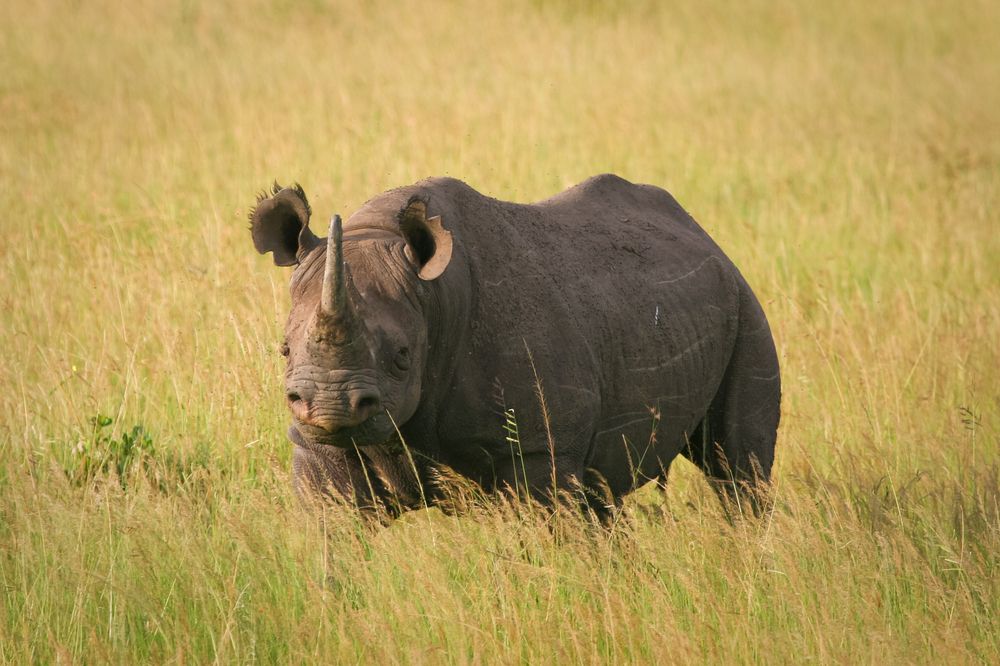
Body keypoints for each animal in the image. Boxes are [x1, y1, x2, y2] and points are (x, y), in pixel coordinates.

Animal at [249, 175, 780, 519]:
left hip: (743, 299)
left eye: (402, 357)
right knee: (601, 494)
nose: (329, 408)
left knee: (738, 469)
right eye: (284, 351)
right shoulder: (319, 448)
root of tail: (701, 231)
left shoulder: (539, 445)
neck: (431, 298)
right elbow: (333, 532)